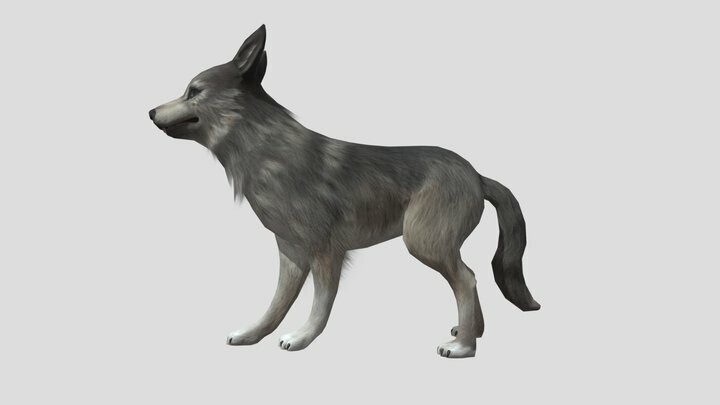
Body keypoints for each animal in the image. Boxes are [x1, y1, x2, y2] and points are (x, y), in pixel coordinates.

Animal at [149, 25, 540, 358]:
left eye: (194, 91)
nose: (150, 111)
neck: (267, 152)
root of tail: (477, 174)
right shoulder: (291, 253)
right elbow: (277, 304)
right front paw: (252, 334)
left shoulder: (326, 253)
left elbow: (320, 304)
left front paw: (301, 338)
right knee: (468, 280)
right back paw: (470, 332)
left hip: (424, 242)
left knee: (467, 280)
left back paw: (464, 347)